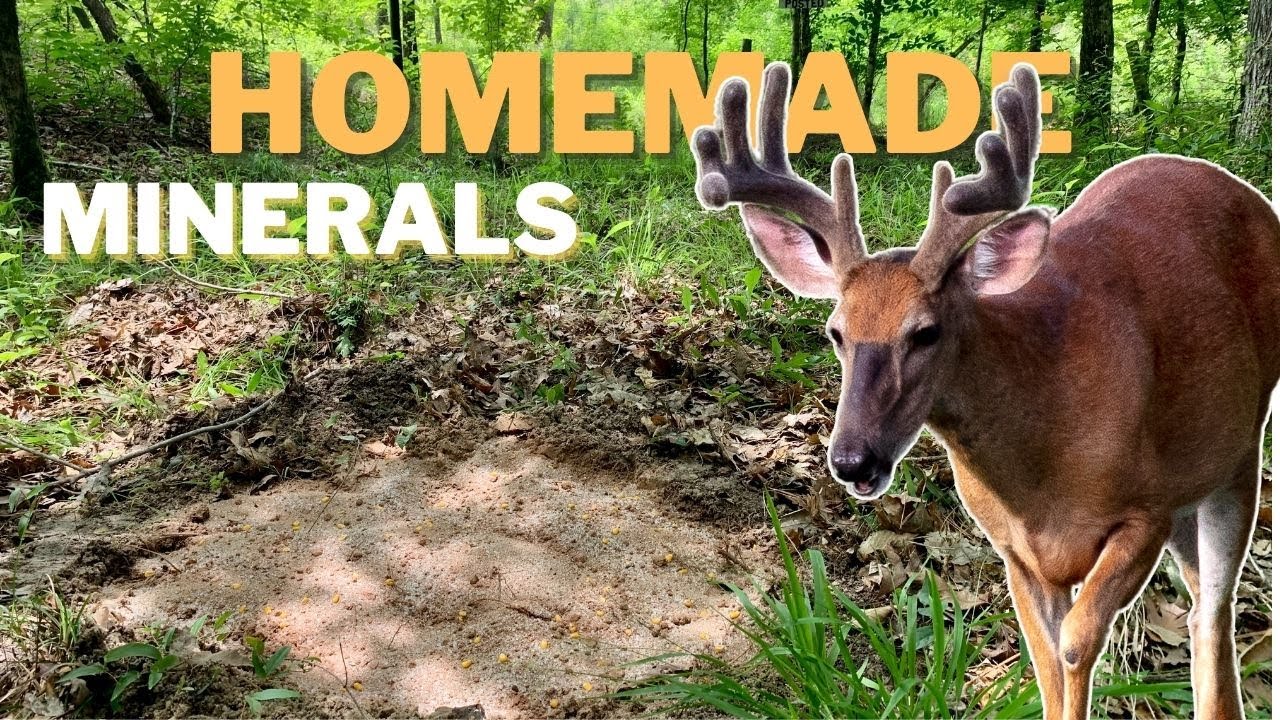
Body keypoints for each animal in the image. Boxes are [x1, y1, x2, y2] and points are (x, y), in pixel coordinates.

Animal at [692, 62, 1279, 720]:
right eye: (835, 331)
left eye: (926, 331)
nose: (851, 459)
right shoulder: (1015, 548)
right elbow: (1046, 660)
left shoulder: (1145, 510)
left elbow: (1076, 644)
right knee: (1203, 604)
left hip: (1237, 459)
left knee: (1213, 610)